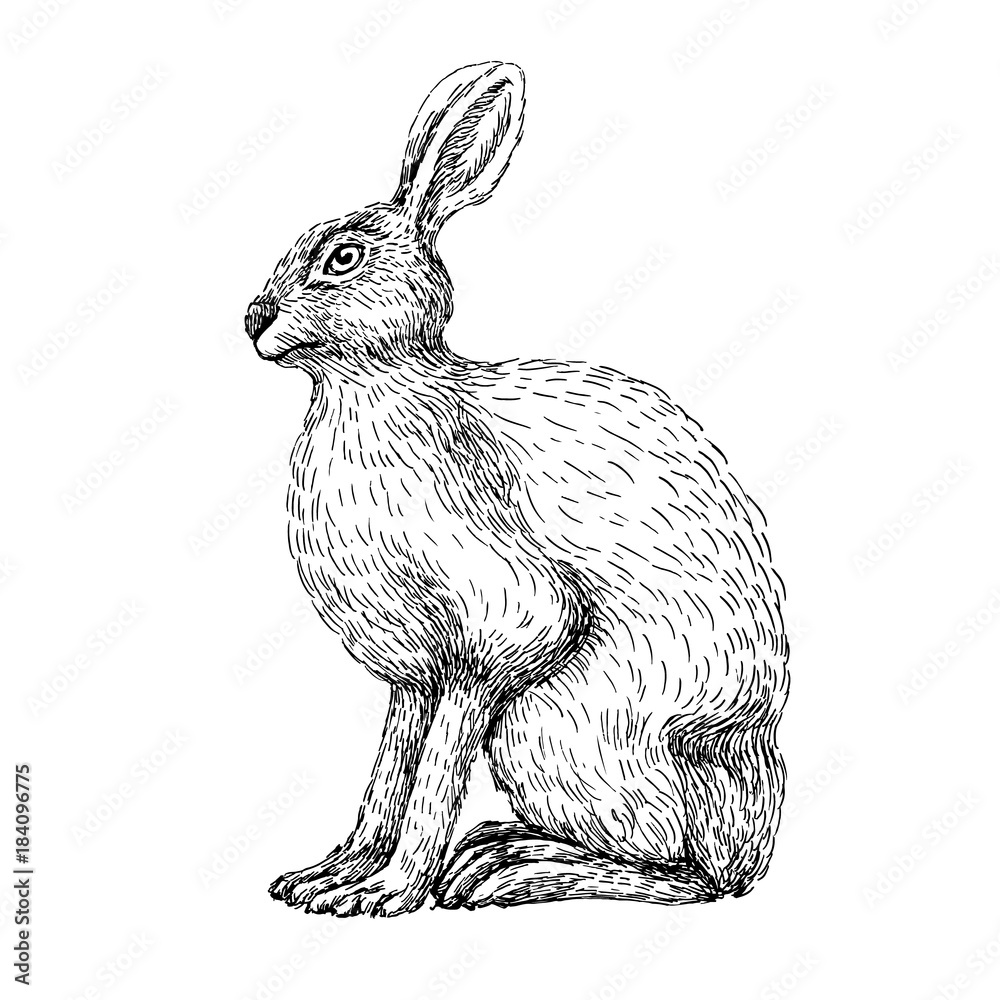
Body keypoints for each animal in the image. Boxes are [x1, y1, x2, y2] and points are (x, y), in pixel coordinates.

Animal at [245, 60, 789, 917]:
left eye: (342, 257)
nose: (252, 317)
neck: (368, 387)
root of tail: (755, 838)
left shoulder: (503, 627)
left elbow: (437, 769)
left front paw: (389, 892)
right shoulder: (414, 675)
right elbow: (390, 768)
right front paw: (329, 876)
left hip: (553, 732)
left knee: (684, 875)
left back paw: (507, 874)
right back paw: (495, 848)